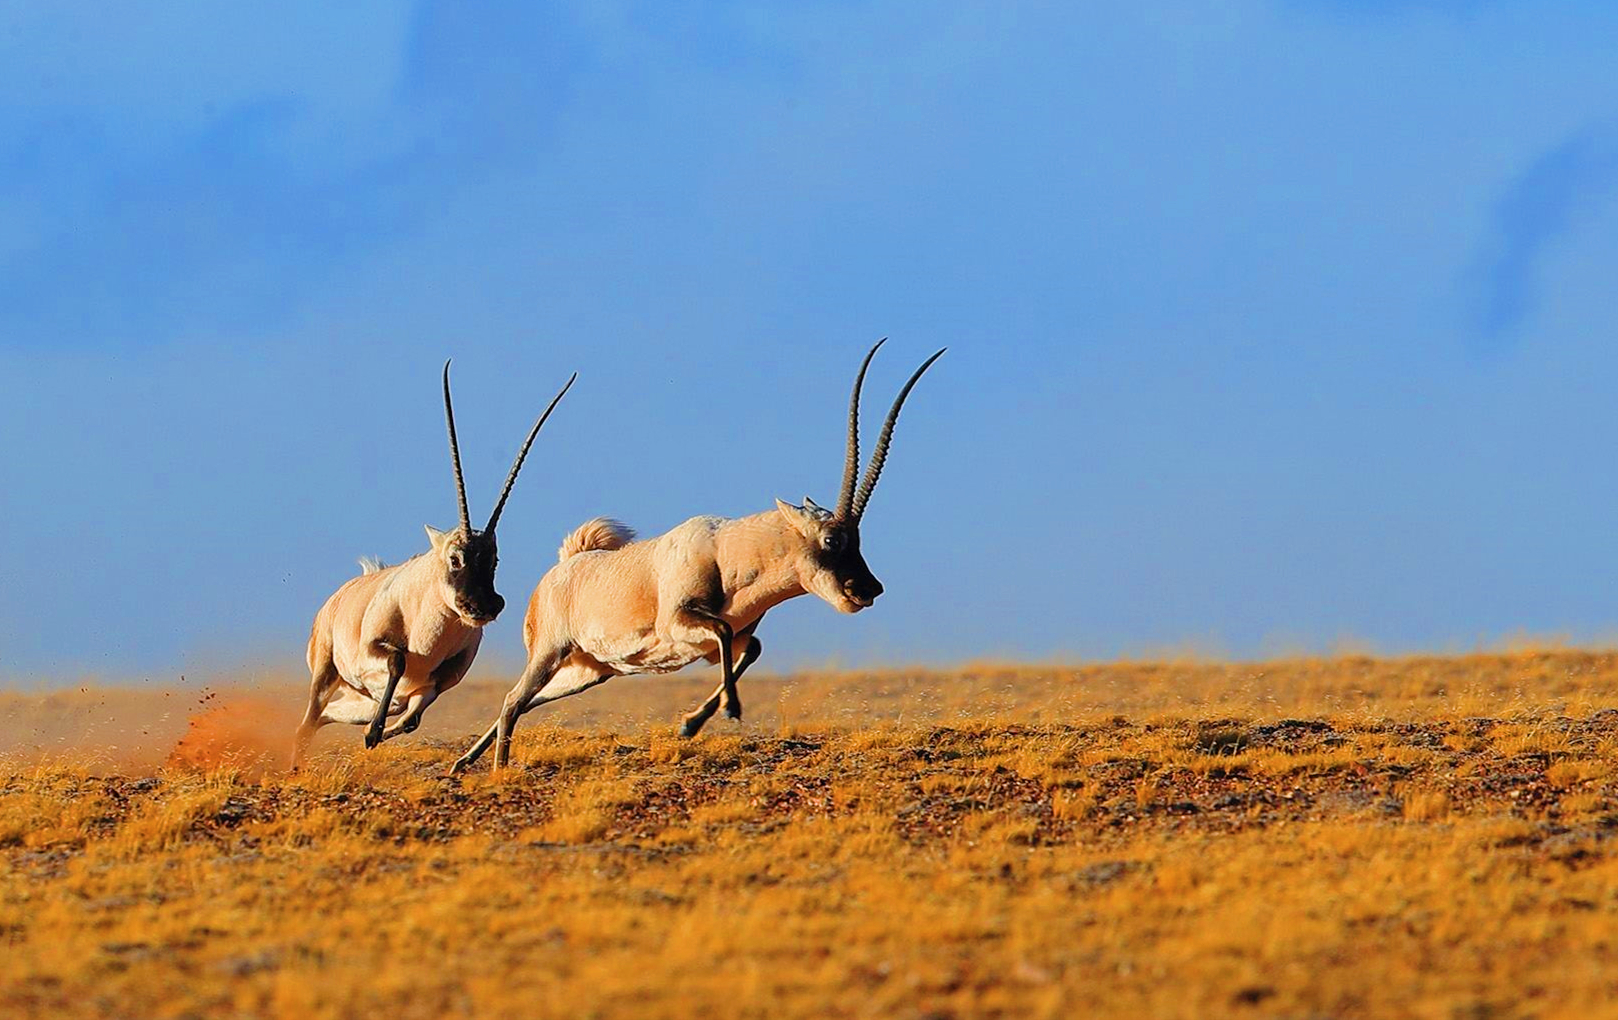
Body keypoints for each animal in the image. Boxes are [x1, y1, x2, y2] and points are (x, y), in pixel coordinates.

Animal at [291, 361, 576, 769]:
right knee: (310, 719)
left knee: (333, 716)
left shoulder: (436, 684)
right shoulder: (374, 653)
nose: (482, 605)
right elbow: (397, 661)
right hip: (327, 670)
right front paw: (374, 734)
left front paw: (375, 735)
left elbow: (413, 719)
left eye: (494, 559)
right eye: (455, 558)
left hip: (363, 697)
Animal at [452, 340, 944, 773]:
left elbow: (750, 649)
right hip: (551, 652)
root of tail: (562, 566)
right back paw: (496, 768)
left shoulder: (724, 640)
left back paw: (465, 762)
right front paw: (726, 711)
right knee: (514, 700)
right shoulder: (680, 622)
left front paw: (692, 723)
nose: (868, 589)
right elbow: (724, 630)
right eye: (831, 541)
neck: (727, 551)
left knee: (520, 702)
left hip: (589, 671)